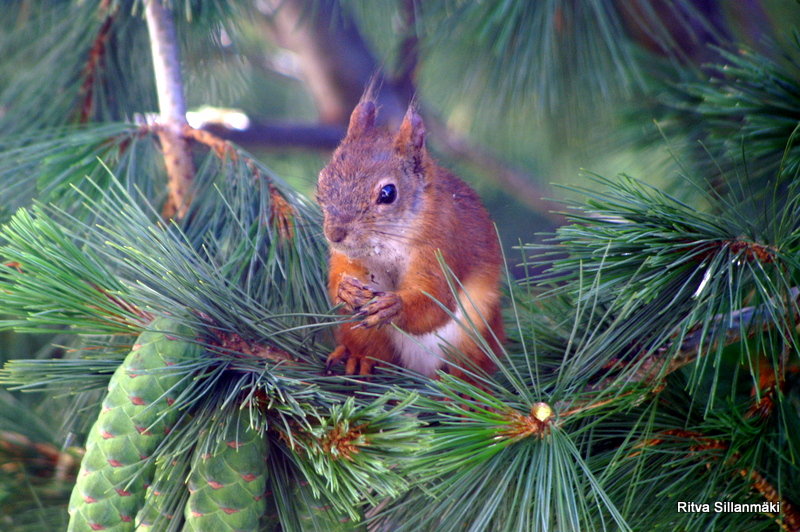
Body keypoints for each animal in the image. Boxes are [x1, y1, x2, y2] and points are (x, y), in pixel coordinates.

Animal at [316, 92, 505, 383]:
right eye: (322, 181)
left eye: (388, 193)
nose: (335, 234)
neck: (387, 244)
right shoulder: (347, 258)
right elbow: (338, 280)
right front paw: (345, 290)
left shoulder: (444, 246)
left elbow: (434, 304)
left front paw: (394, 307)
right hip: (361, 331)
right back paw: (357, 358)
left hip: (477, 333)